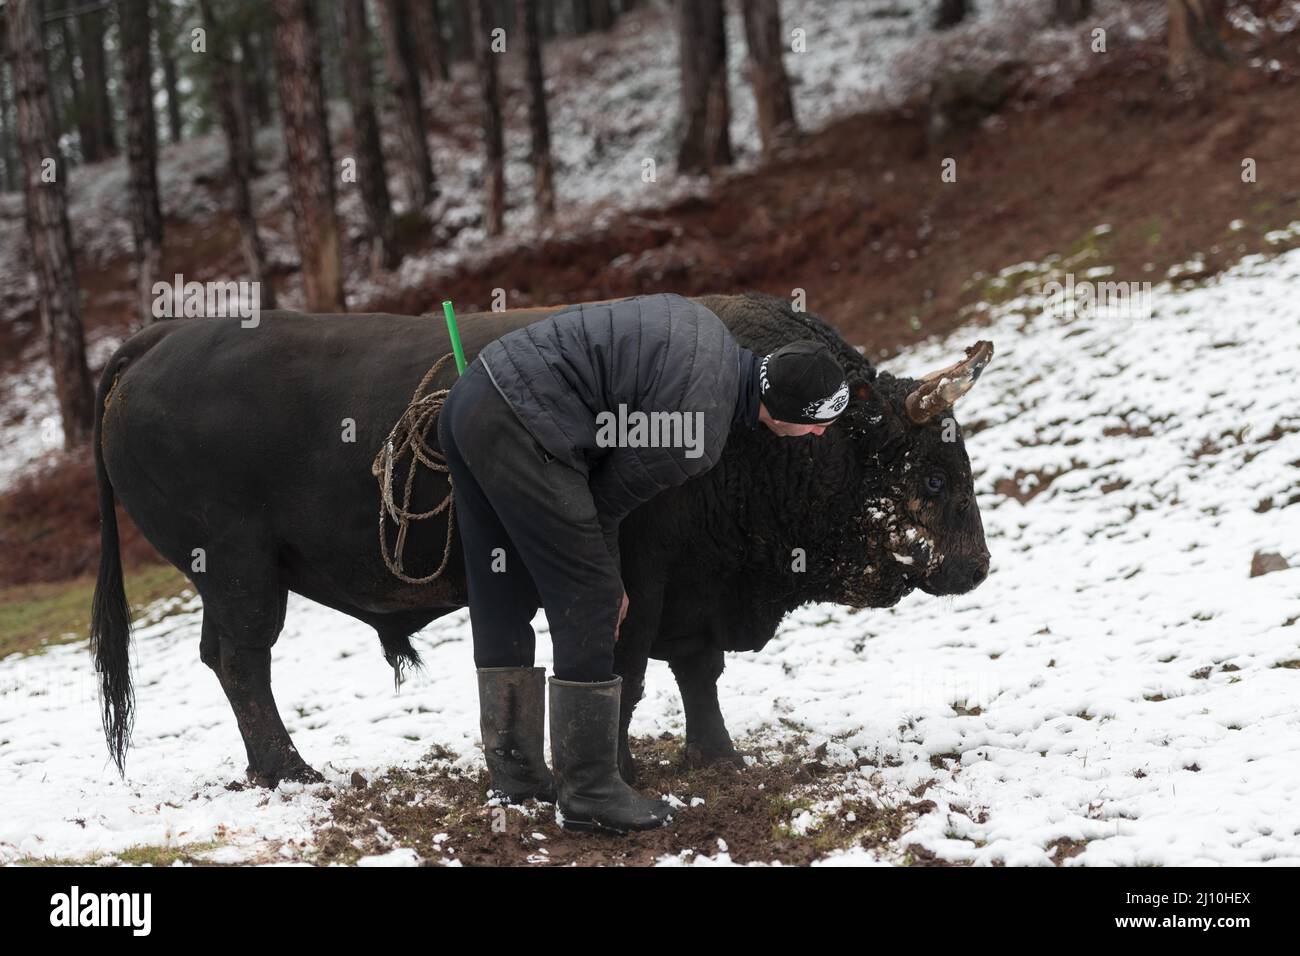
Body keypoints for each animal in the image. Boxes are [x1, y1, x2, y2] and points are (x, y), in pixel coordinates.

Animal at [90, 292, 991, 787]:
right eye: (932, 475)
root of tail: (159, 341)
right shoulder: (640, 579)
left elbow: (699, 673)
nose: (977, 566)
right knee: (243, 661)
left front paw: (719, 756)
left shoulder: (696, 587)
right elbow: (625, 673)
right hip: (240, 573)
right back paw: (290, 770)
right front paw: (620, 769)